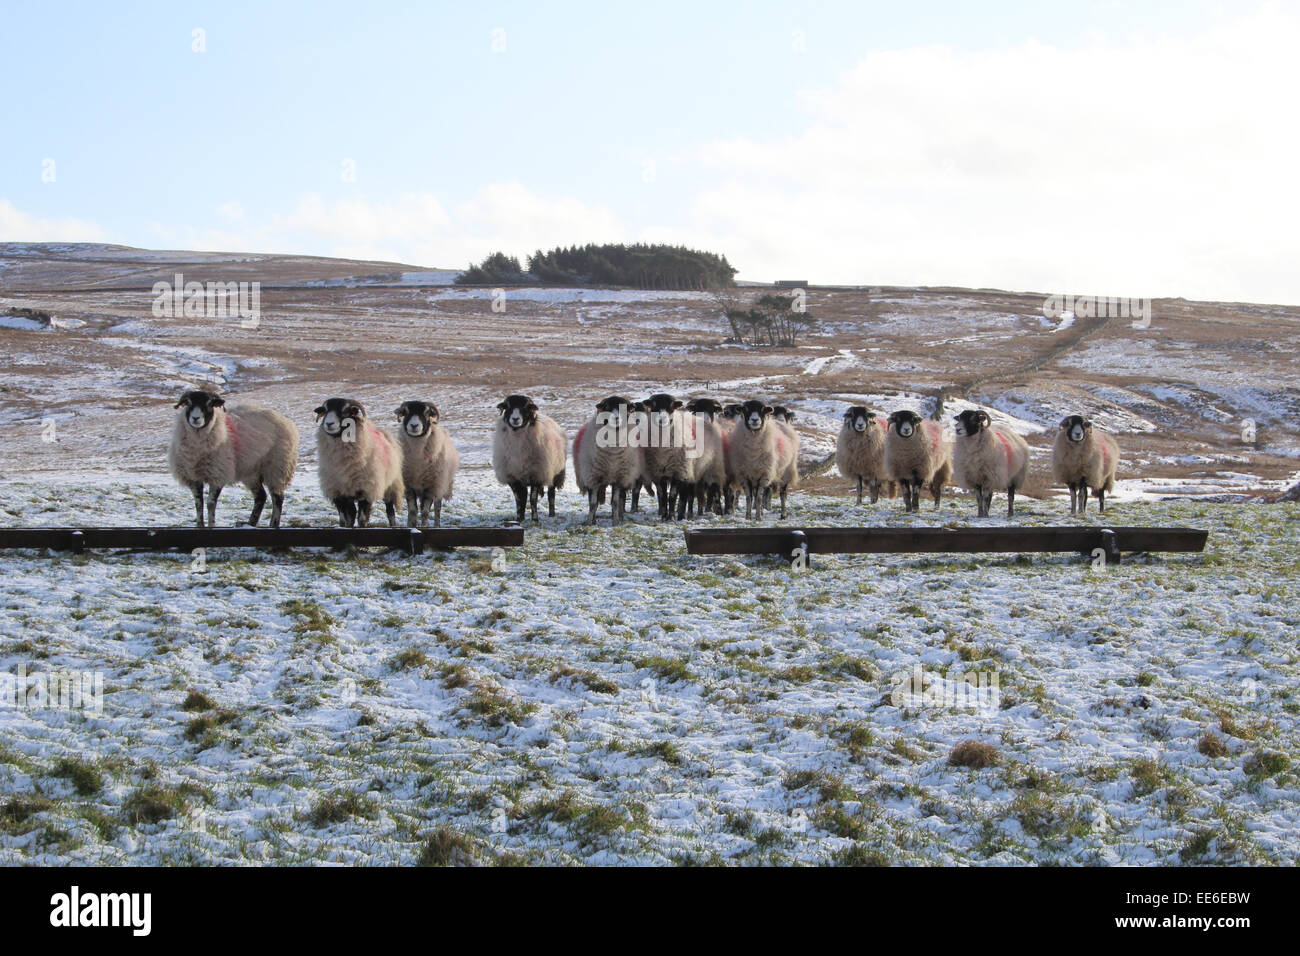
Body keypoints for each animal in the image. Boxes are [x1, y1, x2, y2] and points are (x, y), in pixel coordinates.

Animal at [168, 389, 298, 529]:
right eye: (188, 403)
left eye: (210, 404)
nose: (195, 418)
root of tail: (284, 419)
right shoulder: (193, 478)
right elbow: (198, 504)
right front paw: (200, 526)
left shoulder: (218, 475)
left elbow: (210, 503)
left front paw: (211, 525)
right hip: (251, 471)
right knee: (260, 496)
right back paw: (250, 523)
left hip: (277, 467)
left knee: (277, 497)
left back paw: (273, 524)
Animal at [314, 397, 404, 527]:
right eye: (325, 411)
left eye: (345, 411)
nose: (329, 423)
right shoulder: (338, 493)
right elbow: (346, 520)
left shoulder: (367, 490)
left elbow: (362, 519)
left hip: (391, 485)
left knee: (390, 511)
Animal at [493, 394, 567, 522]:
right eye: (507, 406)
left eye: (526, 407)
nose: (515, 419)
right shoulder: (513, 477)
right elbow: (519, 499)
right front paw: (519, 518)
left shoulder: (537, 474)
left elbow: (532, 499)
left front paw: (535, 519)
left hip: (554, 472)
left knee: (551, 494)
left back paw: (552, 514)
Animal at [574, 395, 641, 525]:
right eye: (607, 407)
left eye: (624, 408)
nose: (616, 418)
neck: (612, 455)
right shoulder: (594, 477)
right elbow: (593, 503)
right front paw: (589, 522)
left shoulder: (618, 478)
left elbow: (615, 502)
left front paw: (615, 522)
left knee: (621, 499)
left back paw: (620, 517)